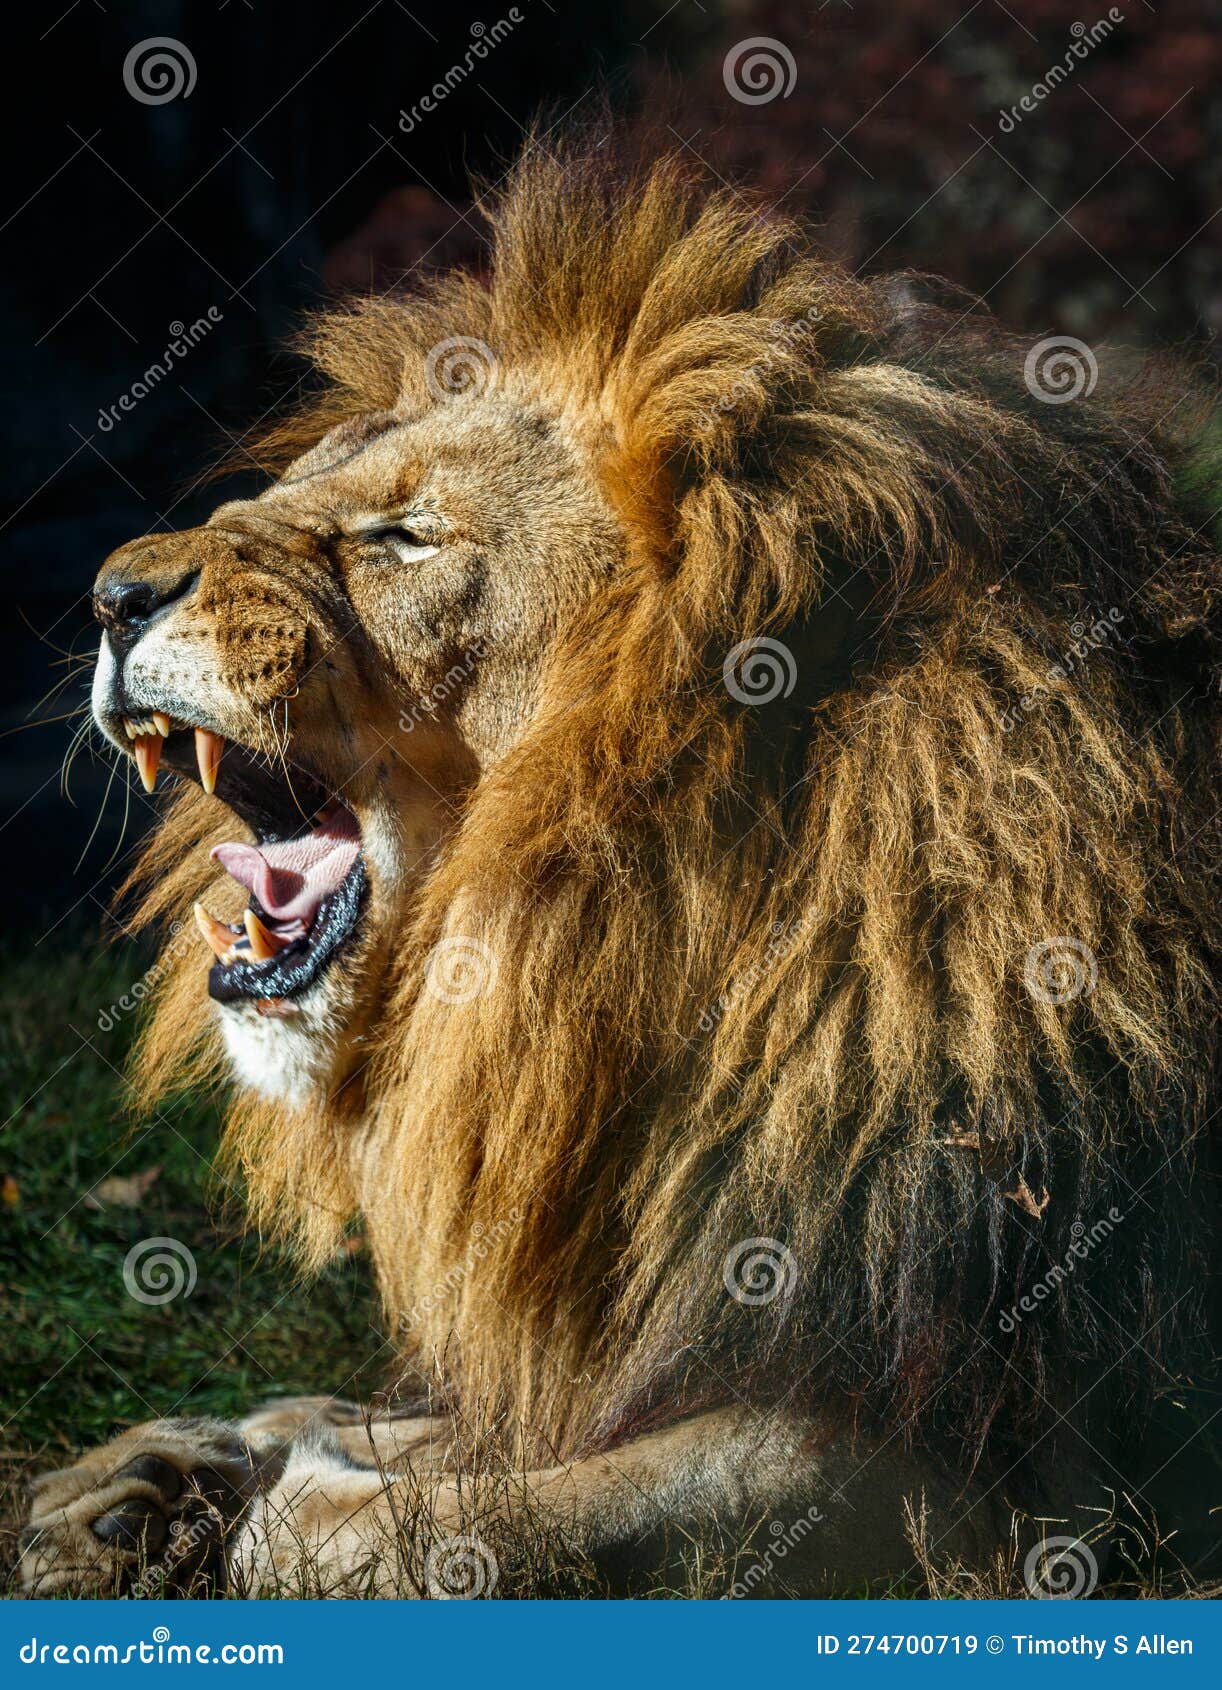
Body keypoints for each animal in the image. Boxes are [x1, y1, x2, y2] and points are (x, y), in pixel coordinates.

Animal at [20, 132, 1219, 1599]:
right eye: (271, 499)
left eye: (402, 536)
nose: (111, 596)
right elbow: (424, 1416)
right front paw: (149, 1477)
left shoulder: (994, 1439)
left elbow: (571, 1501)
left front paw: (303, 1512)